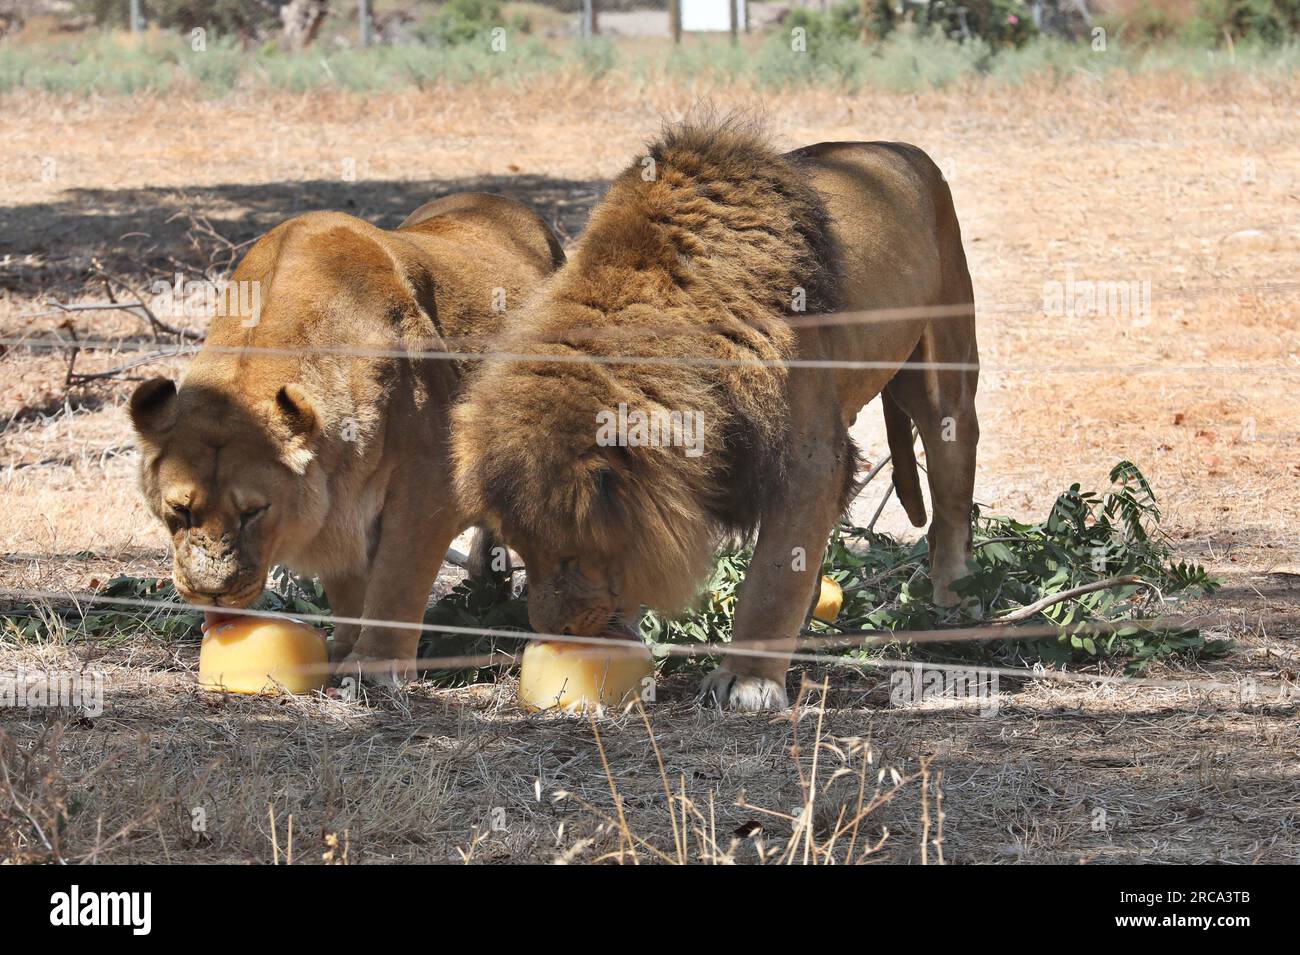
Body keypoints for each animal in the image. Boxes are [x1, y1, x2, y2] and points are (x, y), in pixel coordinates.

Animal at [130, 192, 564, 674]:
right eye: (179, 510)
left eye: (254, 512)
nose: (212, 593)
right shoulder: (339, 499)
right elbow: (347, 587)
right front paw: (341, 651)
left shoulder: (430, 487)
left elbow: (397, 580)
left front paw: (375, 664)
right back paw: (488, 589)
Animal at [452, 121, 978, 711]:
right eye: (523, 549)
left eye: (569, 555)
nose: (552, 633)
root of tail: (901, 147)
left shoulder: (809, 457)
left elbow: (772, 576)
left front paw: (748, 680)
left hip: (945, 376)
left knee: (952, 496)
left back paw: (955, 605)